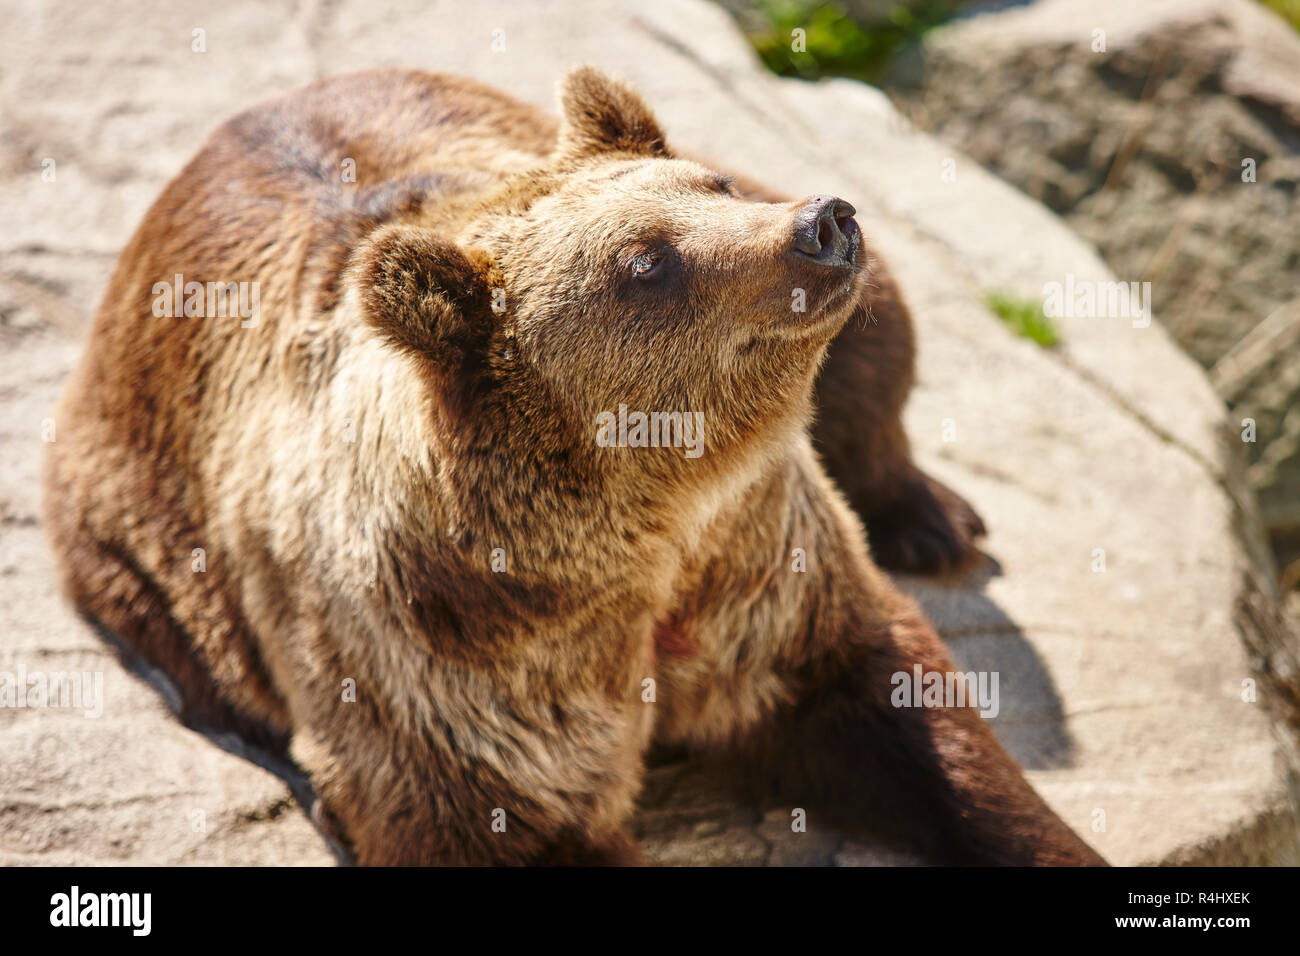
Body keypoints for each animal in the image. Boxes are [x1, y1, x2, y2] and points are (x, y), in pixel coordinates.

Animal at [42, 65, 1101, 866]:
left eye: (706, 190)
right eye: (646, 263)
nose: (821, 222)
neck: (646, 529)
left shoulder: (761, 561)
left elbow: (908, 707)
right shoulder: (444, 663)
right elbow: (490, 816)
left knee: (884, 341)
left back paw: (936, 519)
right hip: (129, 530)